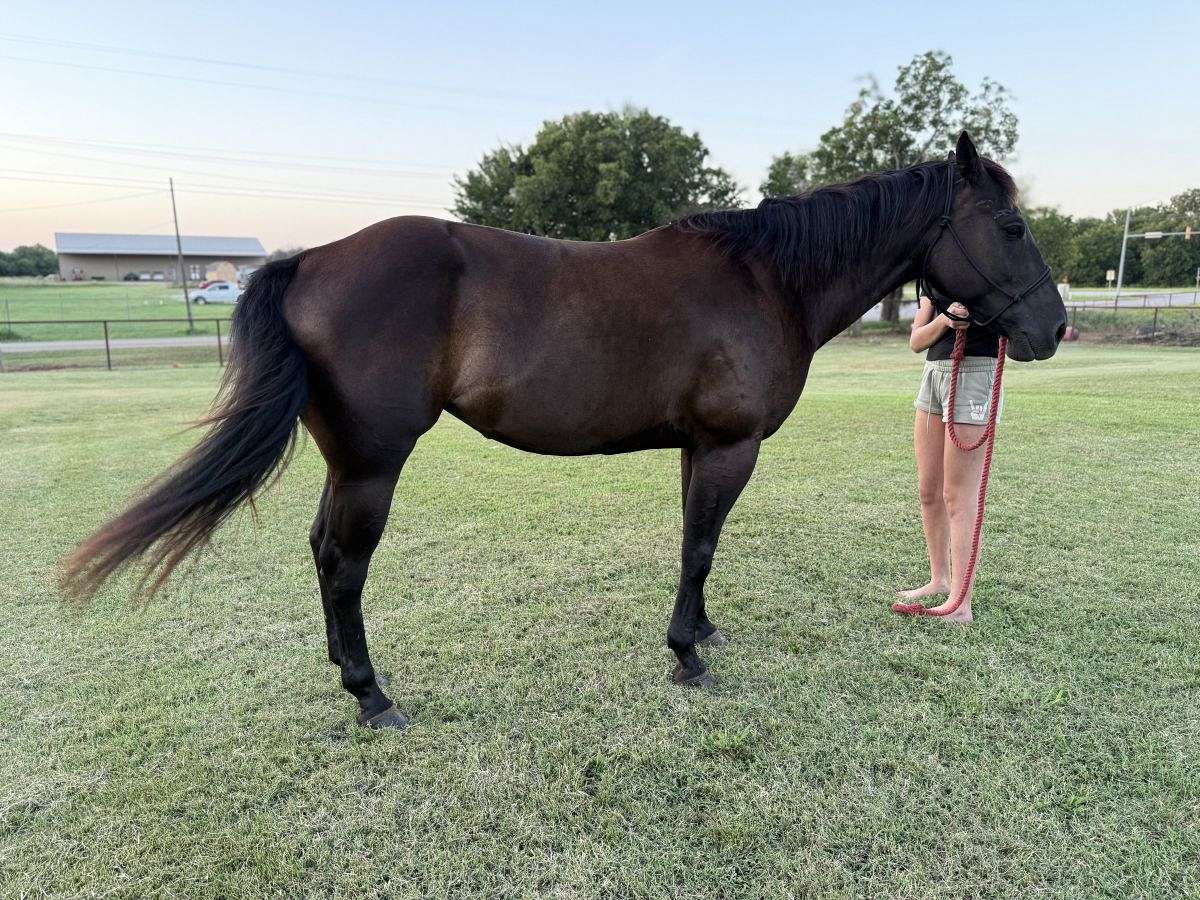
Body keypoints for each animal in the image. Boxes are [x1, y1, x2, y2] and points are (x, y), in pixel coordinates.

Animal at [62, 132, 1068, 729]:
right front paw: (684, 659)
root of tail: (312, 258)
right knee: (345, 566)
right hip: (372, 465)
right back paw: (372, 696)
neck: (765, 280)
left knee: (320, 555)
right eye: (1011, 224)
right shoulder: (729, 447)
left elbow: (695, 546)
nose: (1055, 329)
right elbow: (702, 545)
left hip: (347, 463)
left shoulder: (697, 448)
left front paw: (701, 634)